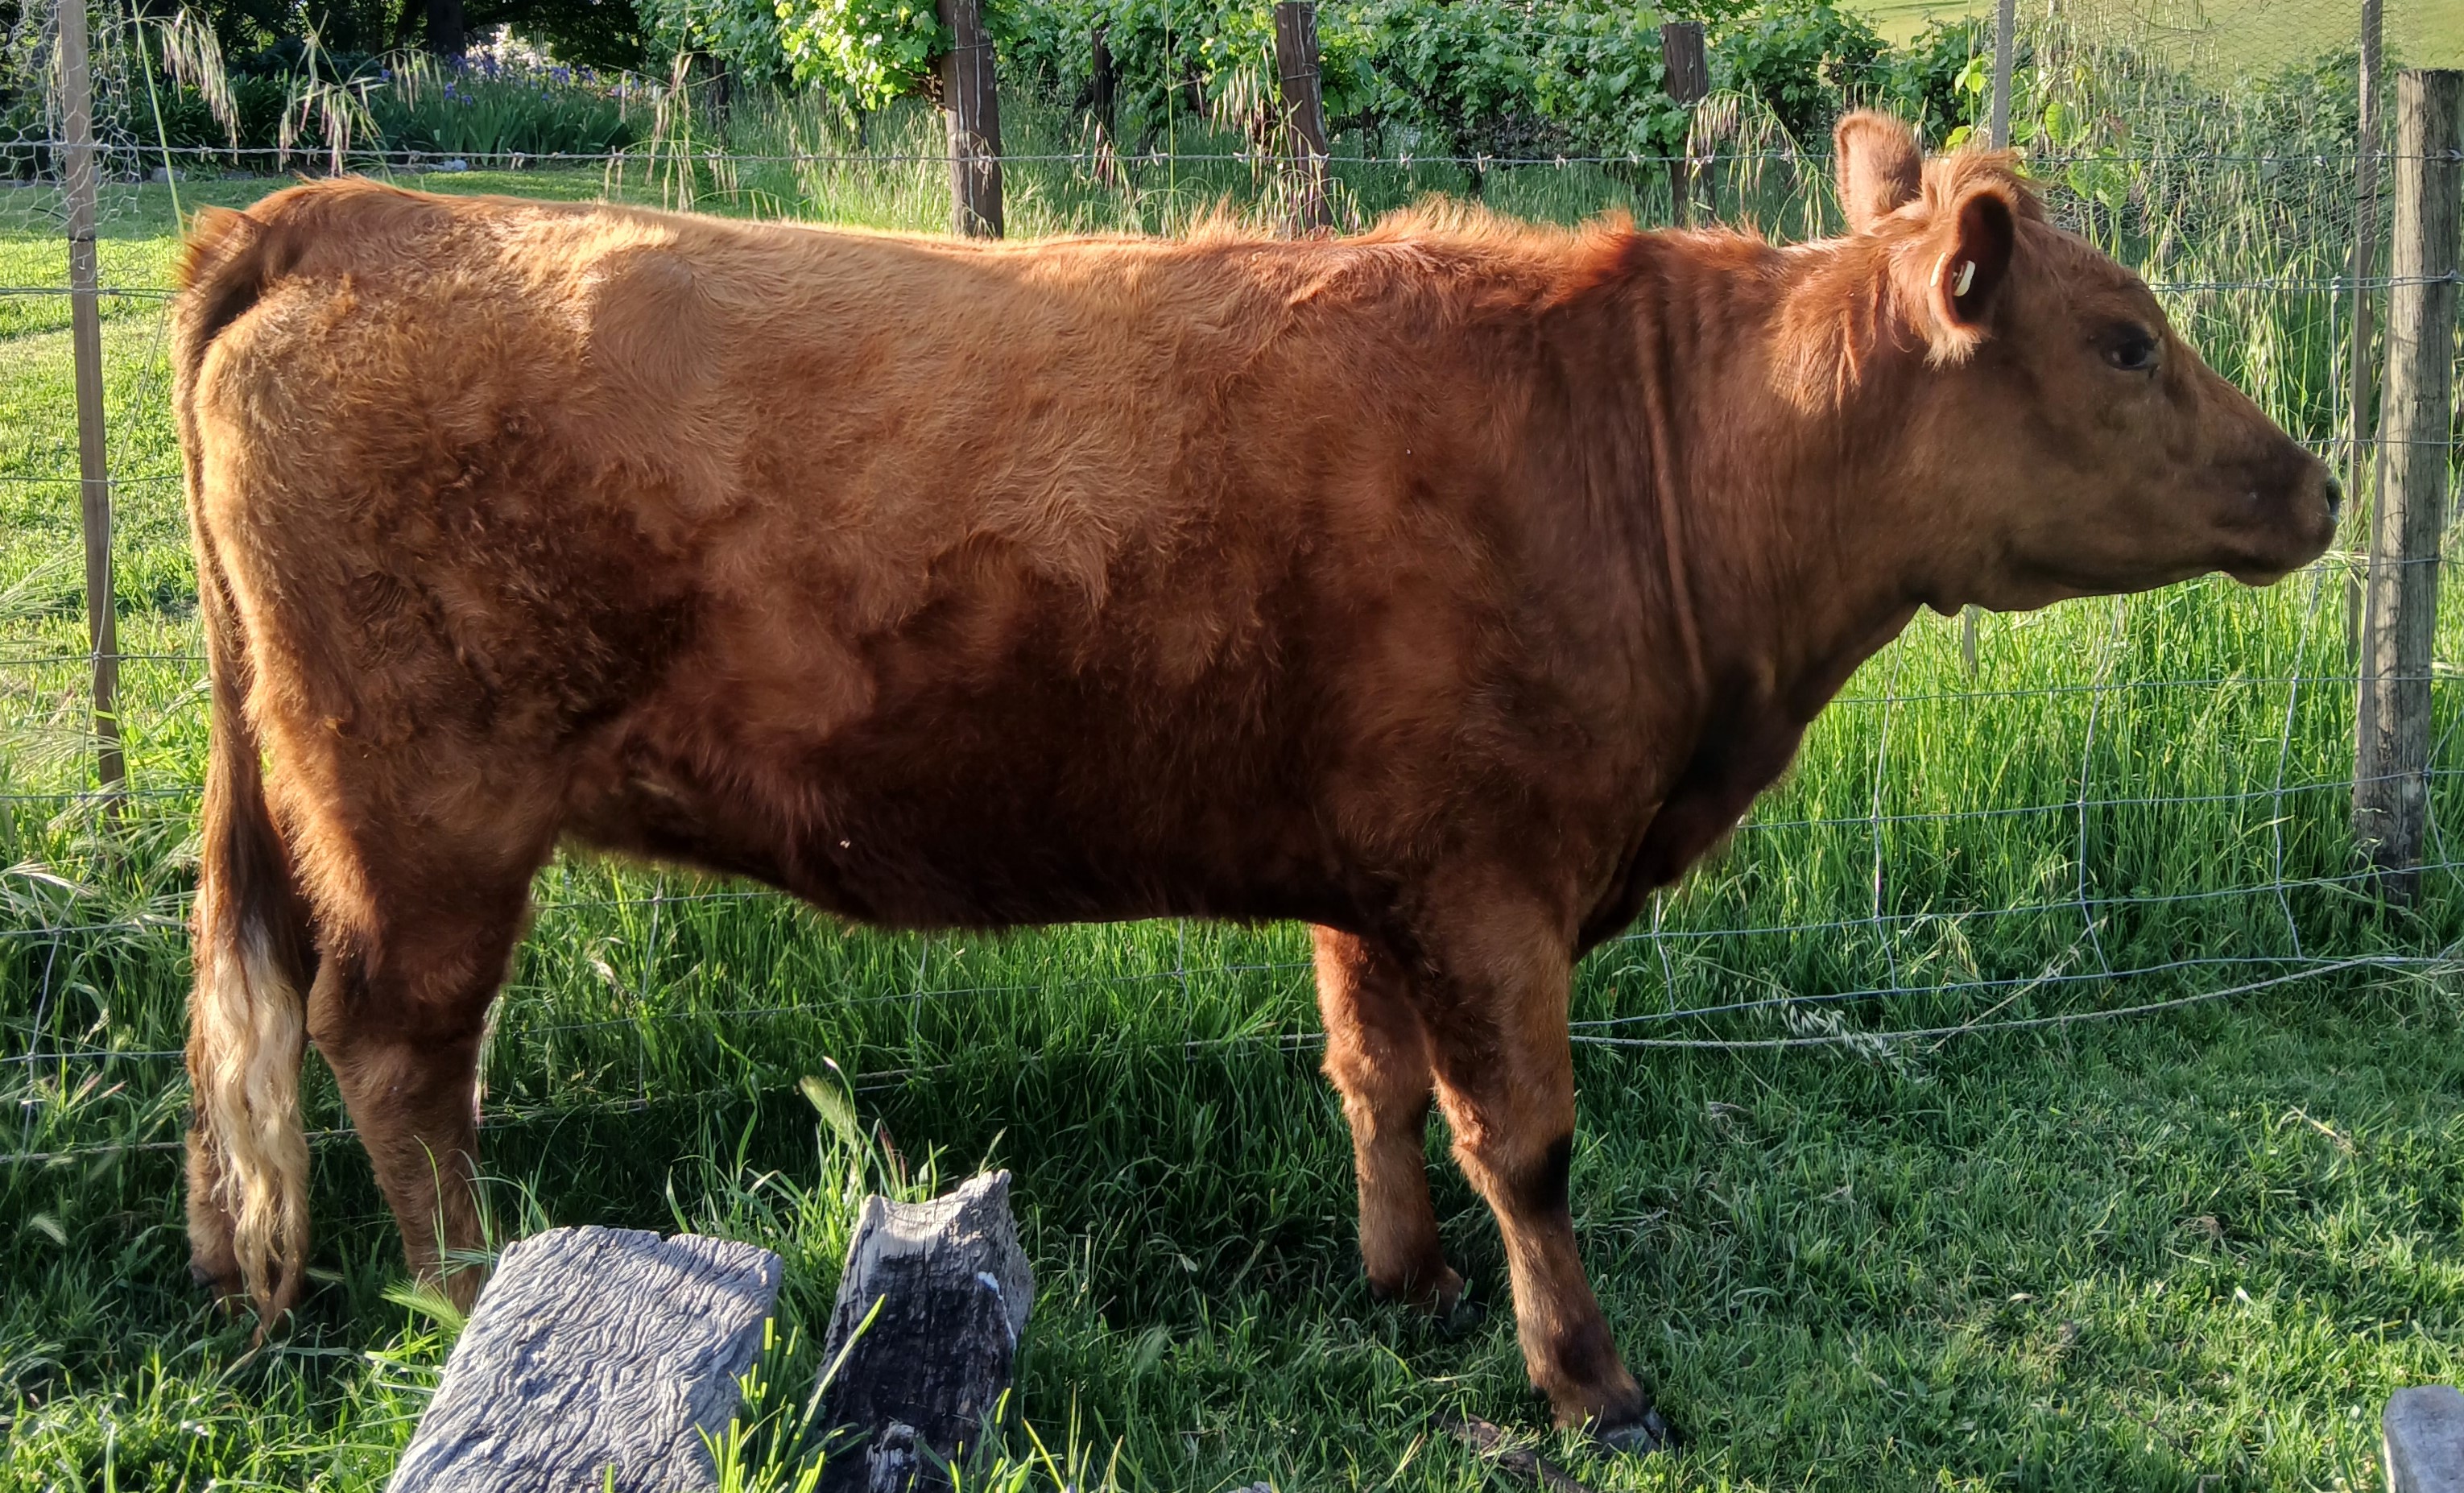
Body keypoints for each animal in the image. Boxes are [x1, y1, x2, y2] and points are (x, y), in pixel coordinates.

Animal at [171, 110, 2335, 1447]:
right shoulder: (1496, 877)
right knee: (396, 1053)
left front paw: (1407, 1284)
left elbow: (1376, 1082)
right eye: (2124, 340)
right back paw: (471, 1301)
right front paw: (1591, 1378)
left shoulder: (1378, 876)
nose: (2315, 480)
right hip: (422, 812)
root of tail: (346, 211)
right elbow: (1527, 1138)